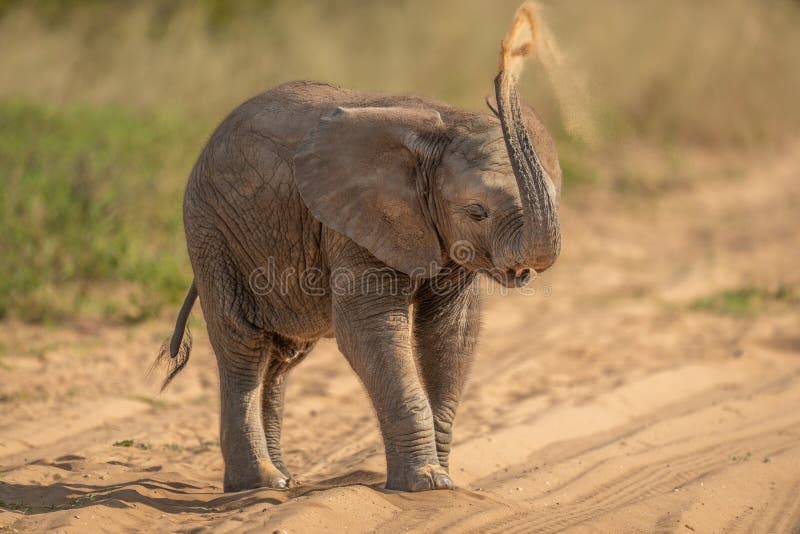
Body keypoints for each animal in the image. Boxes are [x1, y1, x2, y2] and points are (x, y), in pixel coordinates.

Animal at [156, 3, 561, 493]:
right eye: (477, 212)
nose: (513, 46)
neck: (445, 128)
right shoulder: (349, 223)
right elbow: (370, 328)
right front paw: (427, 483)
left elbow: (450, 333)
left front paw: (442, 479)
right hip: (210, 230)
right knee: (244, 345)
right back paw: (260, 483)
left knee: (281, 355)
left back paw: (285, 479)